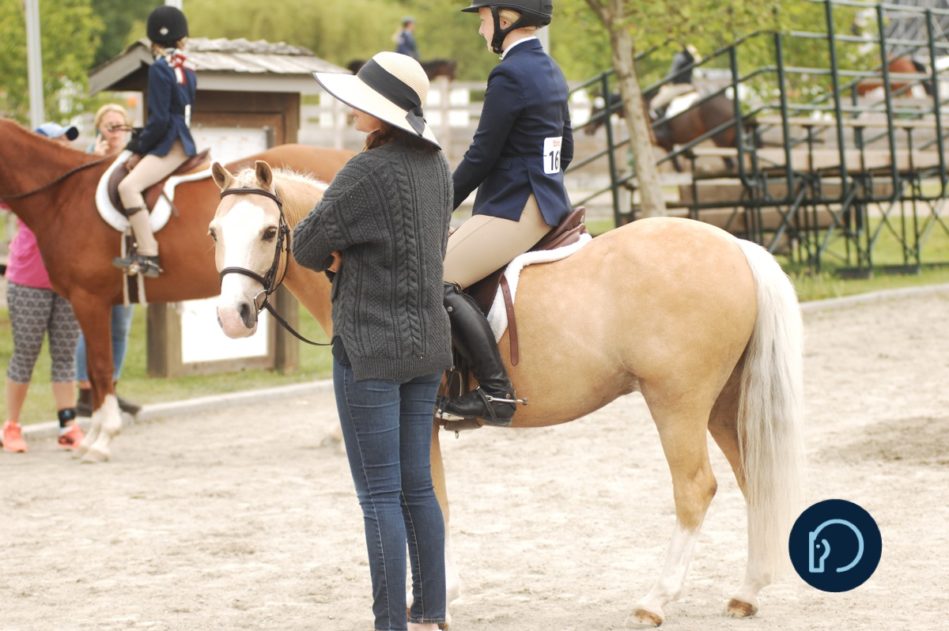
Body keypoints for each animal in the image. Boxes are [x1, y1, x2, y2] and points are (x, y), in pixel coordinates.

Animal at [0, 118, 352, 462]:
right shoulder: (86, 302)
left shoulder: (89, 299)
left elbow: (100, 368)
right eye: (212, 233)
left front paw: (102, 438)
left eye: (268, 232)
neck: (64, 196)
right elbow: (95, 368)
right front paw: (92, 436)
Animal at [208, 159, 806, 627]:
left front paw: (436, 602)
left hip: (677, 402)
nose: (232, 317)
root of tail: (736, 246)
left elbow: (430, 503)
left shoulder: (411, 416)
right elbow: (432, 503)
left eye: (268, 233)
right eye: (214, 232)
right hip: (724, 403)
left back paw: (654, 601)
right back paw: (746, 593)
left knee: (696, 489)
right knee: (753, 479)